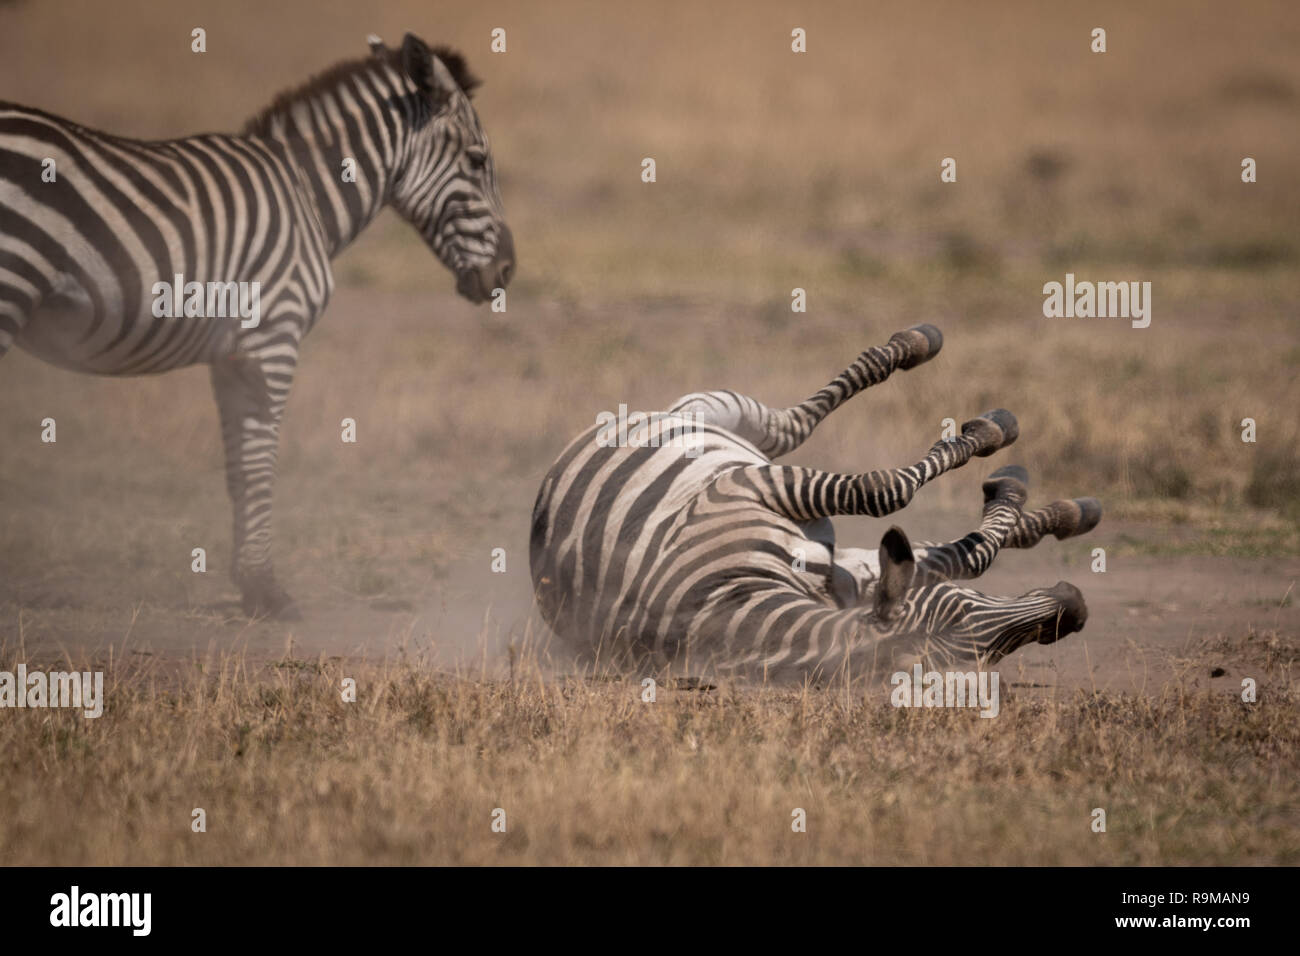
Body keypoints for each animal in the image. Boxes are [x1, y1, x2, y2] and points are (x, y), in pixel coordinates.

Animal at [0, 33, 514, 616]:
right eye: (477, 160)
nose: (507, 271)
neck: (306, 193)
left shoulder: (233, 353)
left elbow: (237, 467)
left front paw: (249, 582)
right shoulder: (273, 335)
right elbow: (260, 462)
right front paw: (266, 589)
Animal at [529, 325, 1102, 685]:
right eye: (989, 652)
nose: (1075, 605)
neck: (731, 595)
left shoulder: (825, 546)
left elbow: (965, 550)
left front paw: (1014, 494)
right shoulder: (748, 489)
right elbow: (885, 490)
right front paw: (997, 462)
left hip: (718, 421)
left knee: (794, 423)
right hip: (719, 422)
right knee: (796, 424)